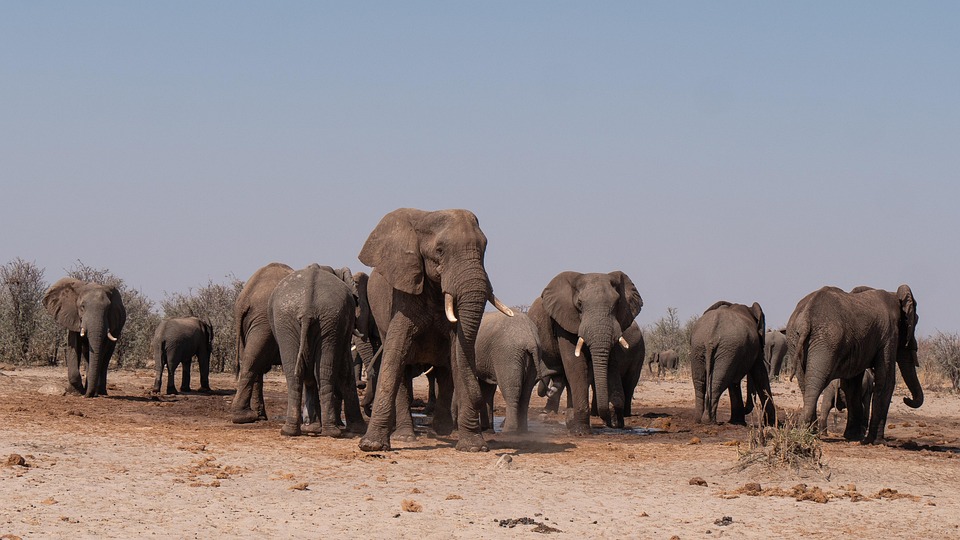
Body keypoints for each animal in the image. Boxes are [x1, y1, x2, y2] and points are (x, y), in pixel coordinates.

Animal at [268, 264, 366, 437]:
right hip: (320, 319)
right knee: (323, 372)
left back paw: (291, 431)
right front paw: (360, 429)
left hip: (297, 321)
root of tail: (307, 308)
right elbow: (345, 368)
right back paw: (330, 431)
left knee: (298, 372)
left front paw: (313, 428)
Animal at [357, 208, 514, 453]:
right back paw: (405, 437)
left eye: (484, 249)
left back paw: (442, 431)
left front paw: (473, 447)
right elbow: (395, 354)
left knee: (446, 367)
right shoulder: (403, 292)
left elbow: (459, 352)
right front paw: (372, 446)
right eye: (439, 251)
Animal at [527, 271, 643, 433]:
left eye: (616, 304)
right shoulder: (565, 321)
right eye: (580, 304)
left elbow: (610, 365)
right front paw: (581, 432)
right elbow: (576, 365)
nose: (609, 422)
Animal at [787, 285, 923, 443]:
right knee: (816, 382)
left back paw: (809, 433)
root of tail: (806, 318)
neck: (895, 295)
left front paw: (853, 436)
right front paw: (876, 442)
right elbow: (886, 380)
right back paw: (806, 432)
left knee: (806, 384)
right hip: (826, 343)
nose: (906, 398)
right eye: (916, 321)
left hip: (795, 340)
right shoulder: (889, 335)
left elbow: (851, 385)